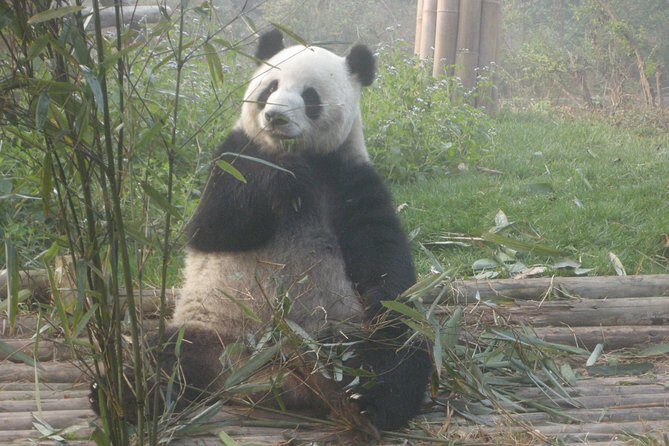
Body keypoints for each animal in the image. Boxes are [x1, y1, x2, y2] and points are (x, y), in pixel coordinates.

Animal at [93, 29, 432, 432]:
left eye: (310, 97)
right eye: (270, 87)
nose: (275, 117)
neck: (294, 155)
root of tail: (260, 377)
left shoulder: (347, 174)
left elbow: (381, 251)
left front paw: (383, 297)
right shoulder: (235, 156)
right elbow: (212, 226)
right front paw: (280, 177)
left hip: (334, 334)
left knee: (394, 353)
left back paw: (368, 403)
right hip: (206, 328)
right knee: (159, 354)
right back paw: (125, 397)